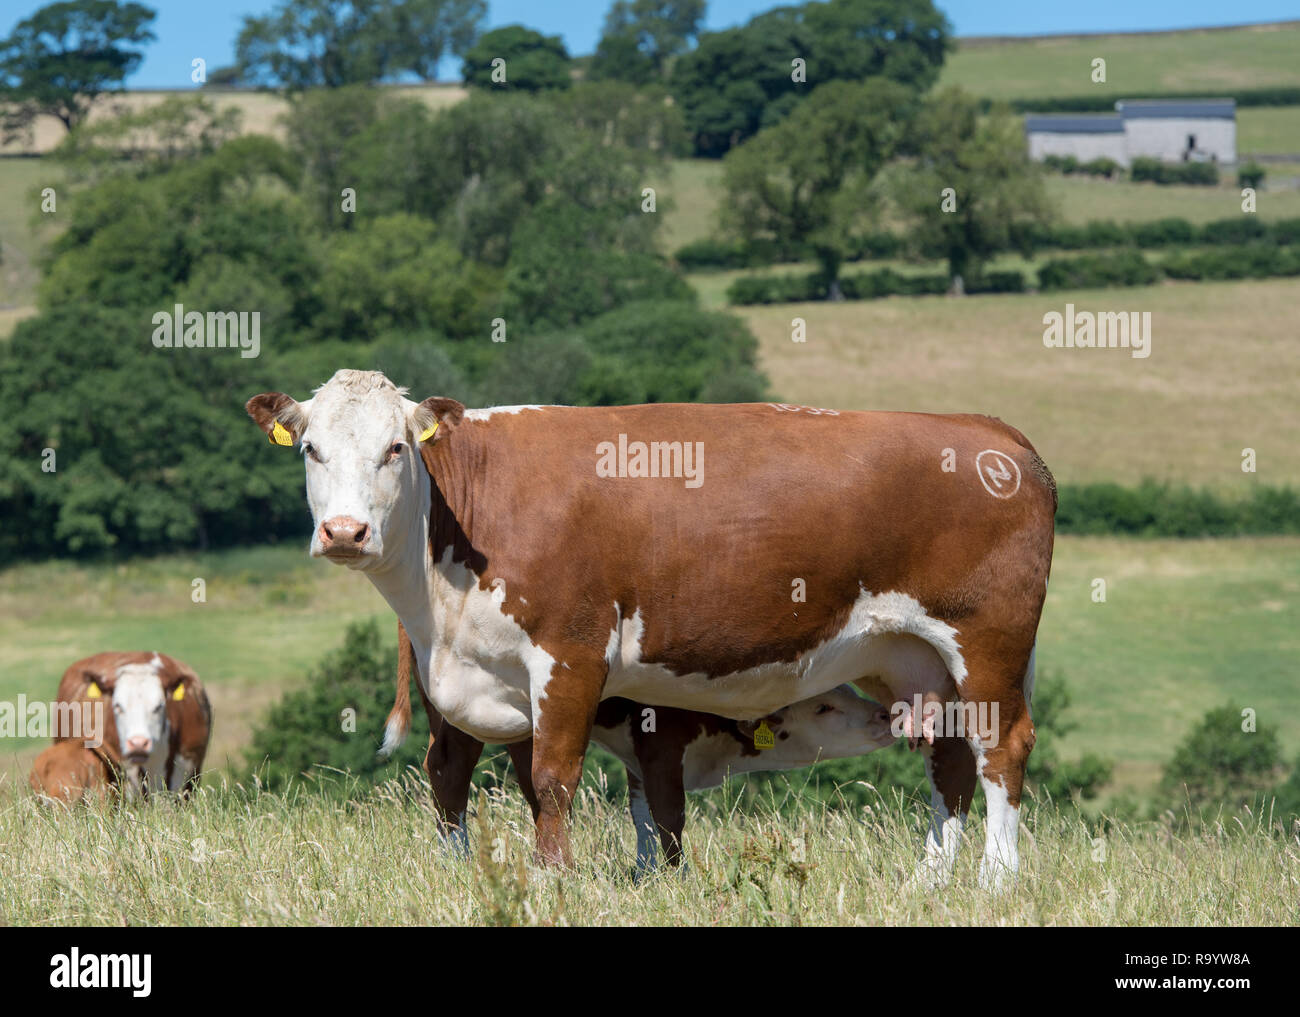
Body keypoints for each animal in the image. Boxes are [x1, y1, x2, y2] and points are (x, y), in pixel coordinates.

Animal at [383, 619, 897, 871]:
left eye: (849, 690)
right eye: (823, 707)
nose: (883, 715)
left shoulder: (639, 754)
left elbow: (642, 811)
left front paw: (646, 872)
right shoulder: (662, 743)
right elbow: (669, 812)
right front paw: (675, 875)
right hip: (463, 713)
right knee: (449, 770)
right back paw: (456, 862)